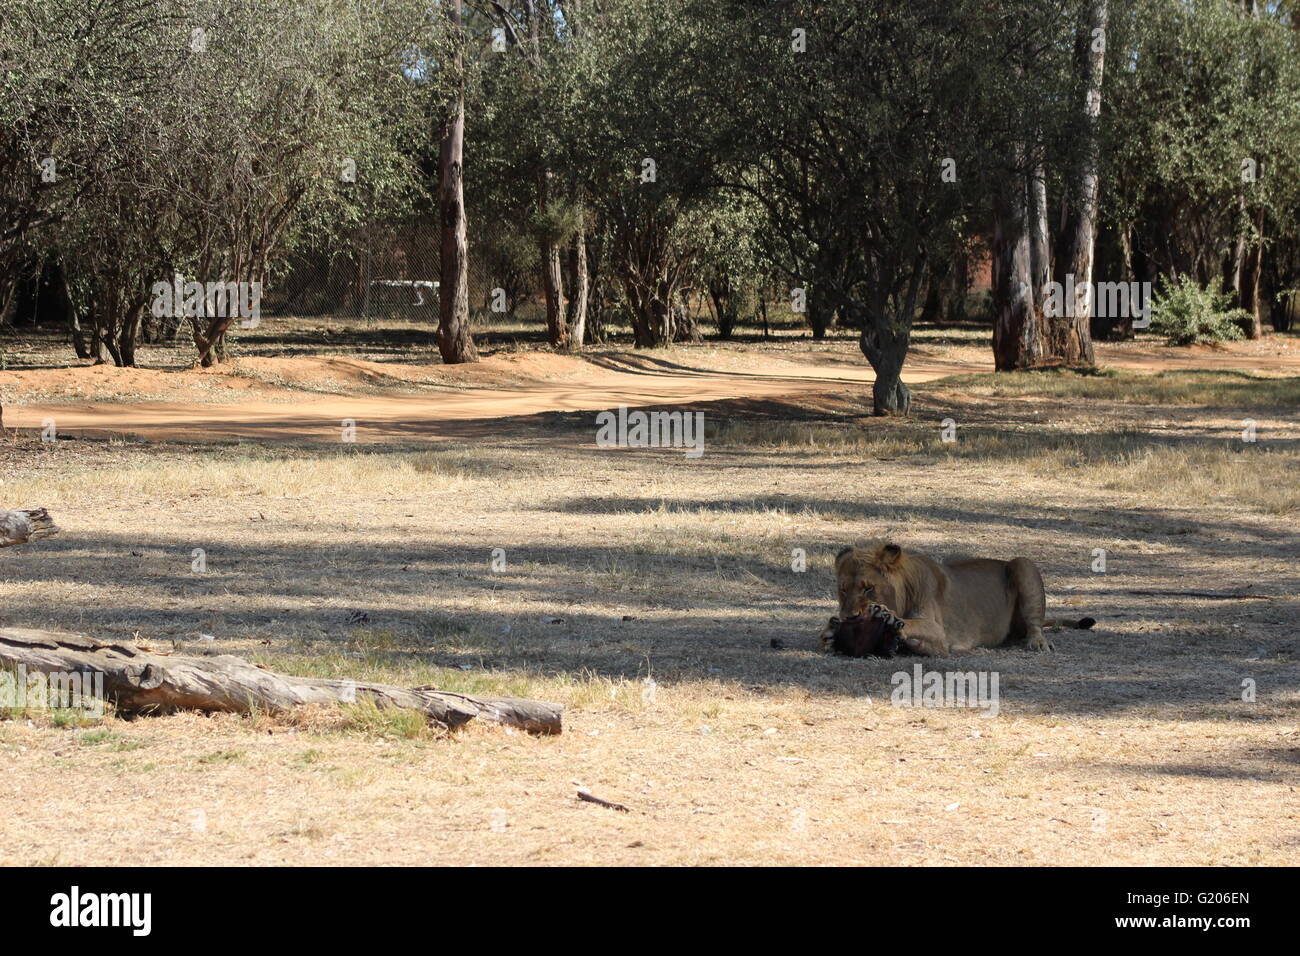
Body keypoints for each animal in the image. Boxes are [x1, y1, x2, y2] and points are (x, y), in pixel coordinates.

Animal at [819, 542, 1094, 657]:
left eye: (868, 589)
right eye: (842, 590)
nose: (849, 617)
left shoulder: (939, 634)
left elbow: (913, 625)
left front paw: (889, 619)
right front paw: (829, 634)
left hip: (1022, 563)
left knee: (1034, 625)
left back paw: (1037, 642)